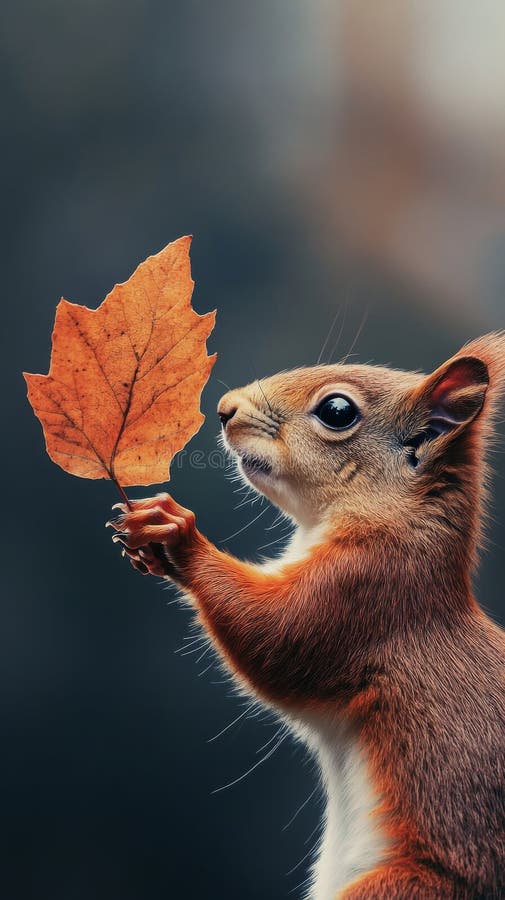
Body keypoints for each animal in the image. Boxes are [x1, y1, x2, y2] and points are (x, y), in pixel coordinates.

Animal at [110, 333, 505, 899]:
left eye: (337, 411)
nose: (226, 410)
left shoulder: (366, 592)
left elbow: (274, 635)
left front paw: (176, 535)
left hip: (411, 886)